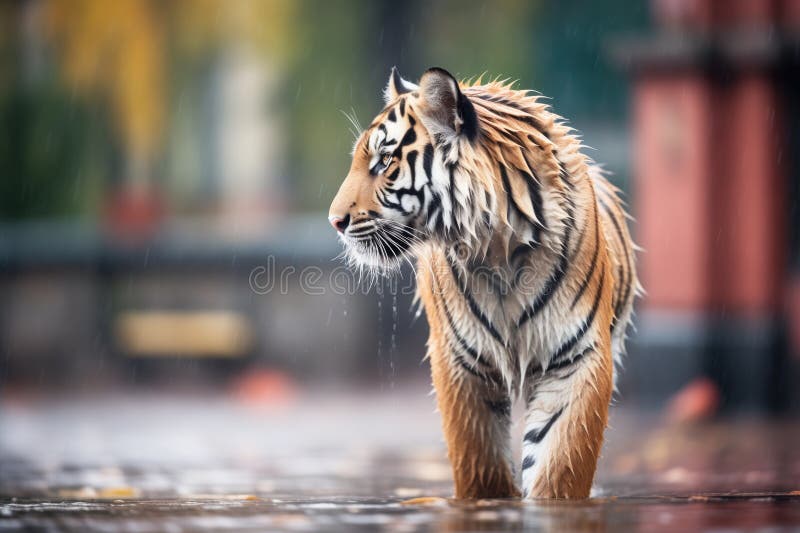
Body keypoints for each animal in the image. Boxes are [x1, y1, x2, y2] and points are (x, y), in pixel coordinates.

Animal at [328, 67, 638, 499]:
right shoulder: (462, 364)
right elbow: (480, 465)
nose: (334, 221)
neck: (498, 251)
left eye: (385, 161)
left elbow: (558, 468)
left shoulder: (575, 358)